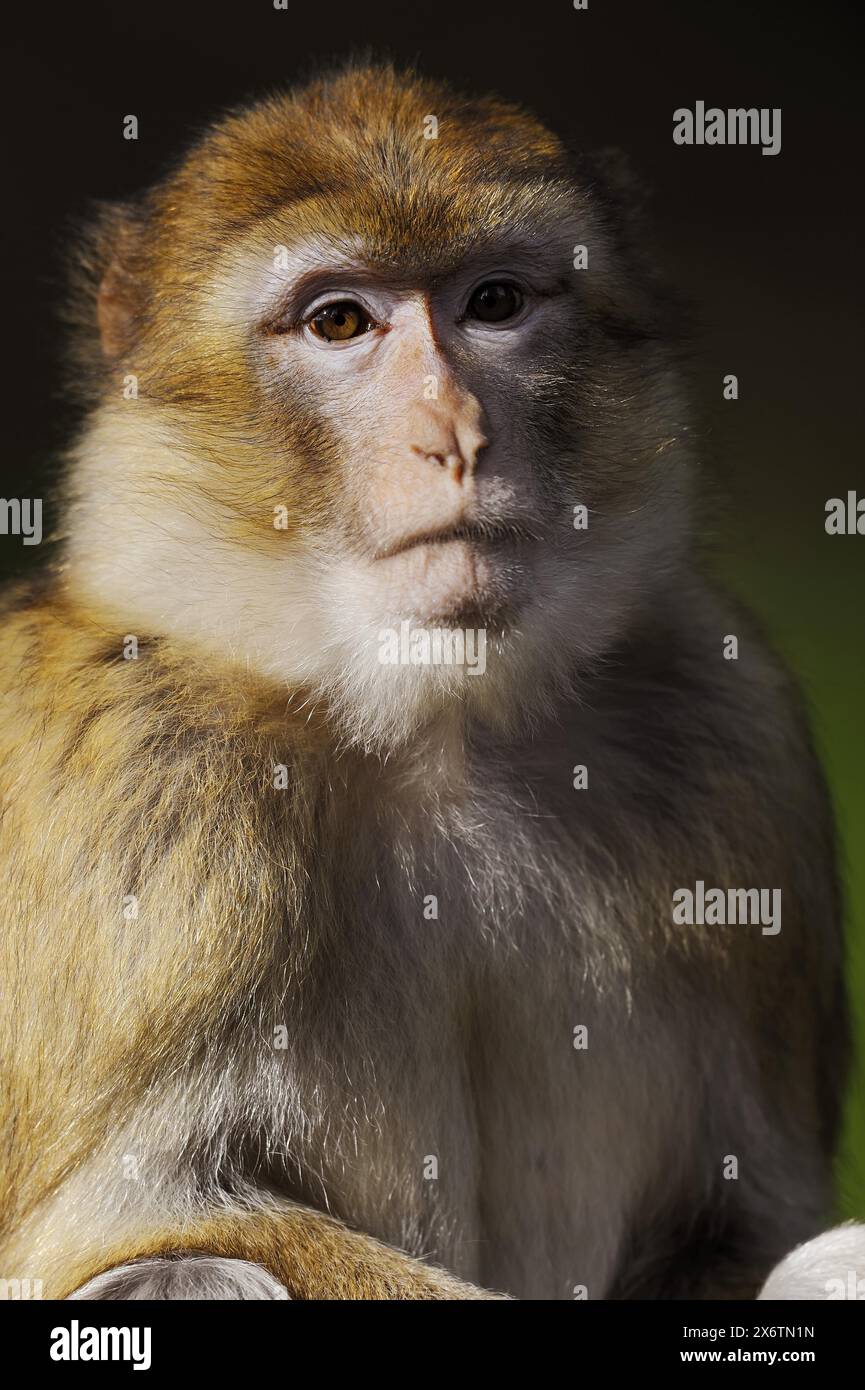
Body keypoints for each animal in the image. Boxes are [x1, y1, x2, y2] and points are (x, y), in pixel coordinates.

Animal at [0, 61, 852, 1301]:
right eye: (339, 321)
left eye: (493, 303)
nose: (453, 433)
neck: (434, 725)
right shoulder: (147, 803)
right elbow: (120, 1223)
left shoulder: (731, 735)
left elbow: (763, 1220)